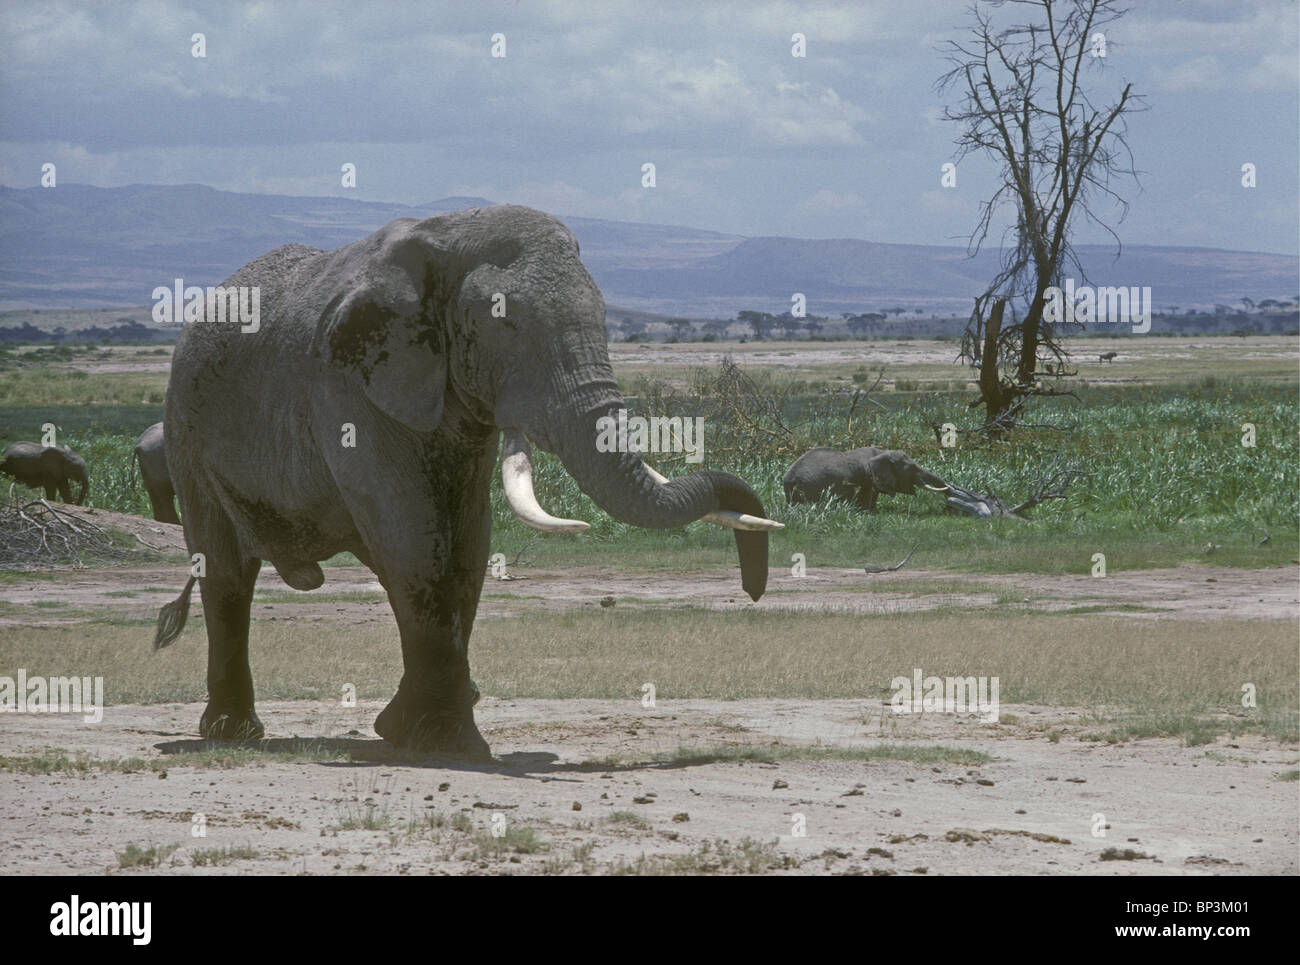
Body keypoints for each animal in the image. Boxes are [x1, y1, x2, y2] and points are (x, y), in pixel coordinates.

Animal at [154, 204, 781, 759]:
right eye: (506, 323)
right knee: (226, 573)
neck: (447, 238)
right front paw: (447, 743)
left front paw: (416, 735)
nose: (753, 588)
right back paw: (233, 734)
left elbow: (467, 546)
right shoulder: (348, 385)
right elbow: (417, 539)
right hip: (185, 426)